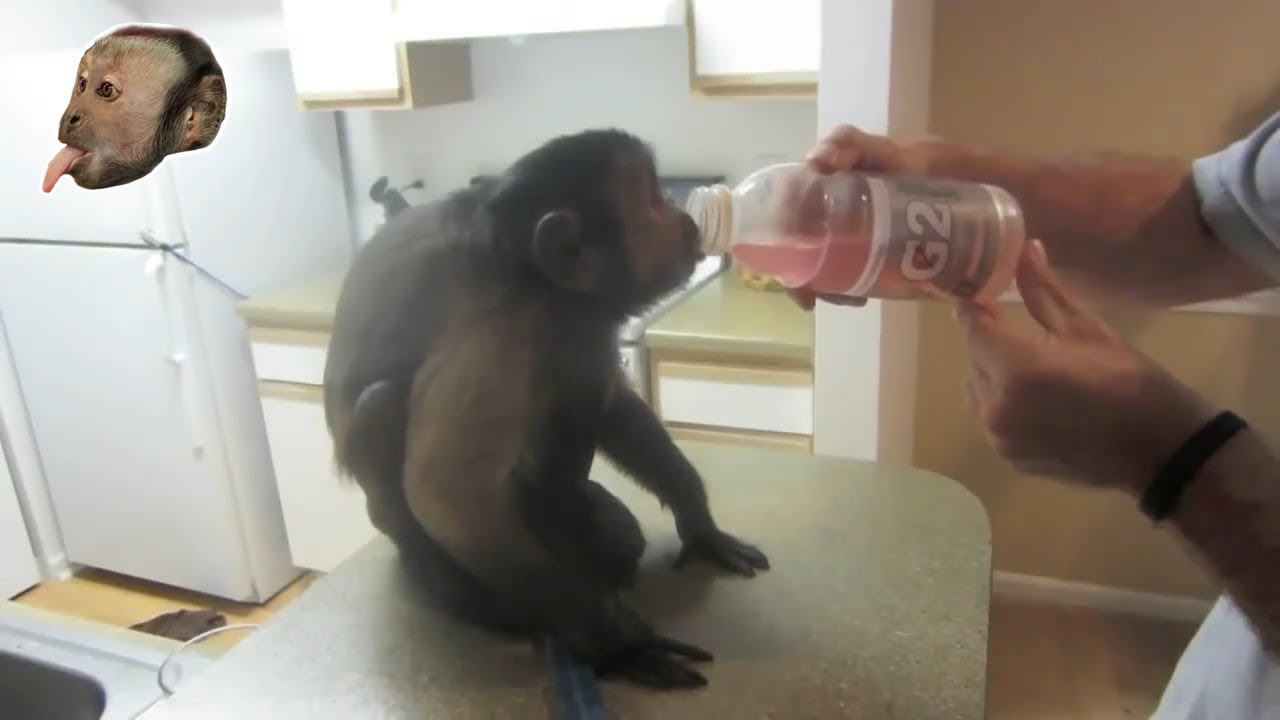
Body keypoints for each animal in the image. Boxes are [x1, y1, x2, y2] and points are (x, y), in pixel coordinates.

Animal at [323, 129, 770, 689]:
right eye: (652, 200)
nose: (684, 214)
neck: (535, 277)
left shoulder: (582, 311)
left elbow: (612, 401)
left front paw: (699, 522)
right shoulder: (504, 329)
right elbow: (447, 494)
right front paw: (617, 642)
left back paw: (576, 519)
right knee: (380, 405)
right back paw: (447, 575)